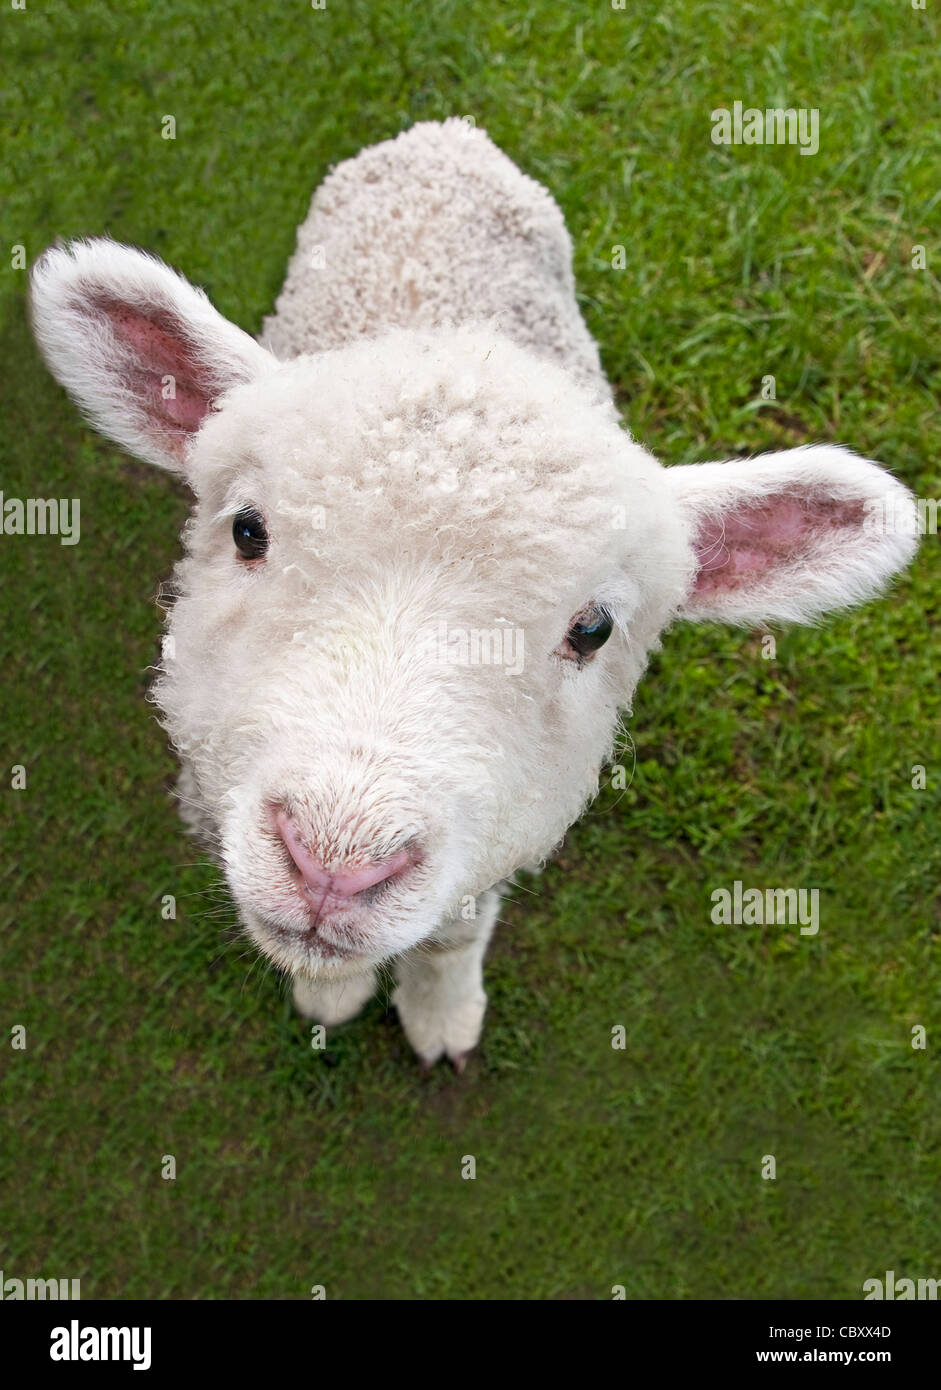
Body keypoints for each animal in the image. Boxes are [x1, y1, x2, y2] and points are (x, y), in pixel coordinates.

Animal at [29, 118, 918, 1070]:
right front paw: (333, 995)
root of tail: (446, 135)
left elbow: (453, 932)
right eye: (247, 532)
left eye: (594, 629)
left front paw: (442, 1012)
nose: (335, 865)